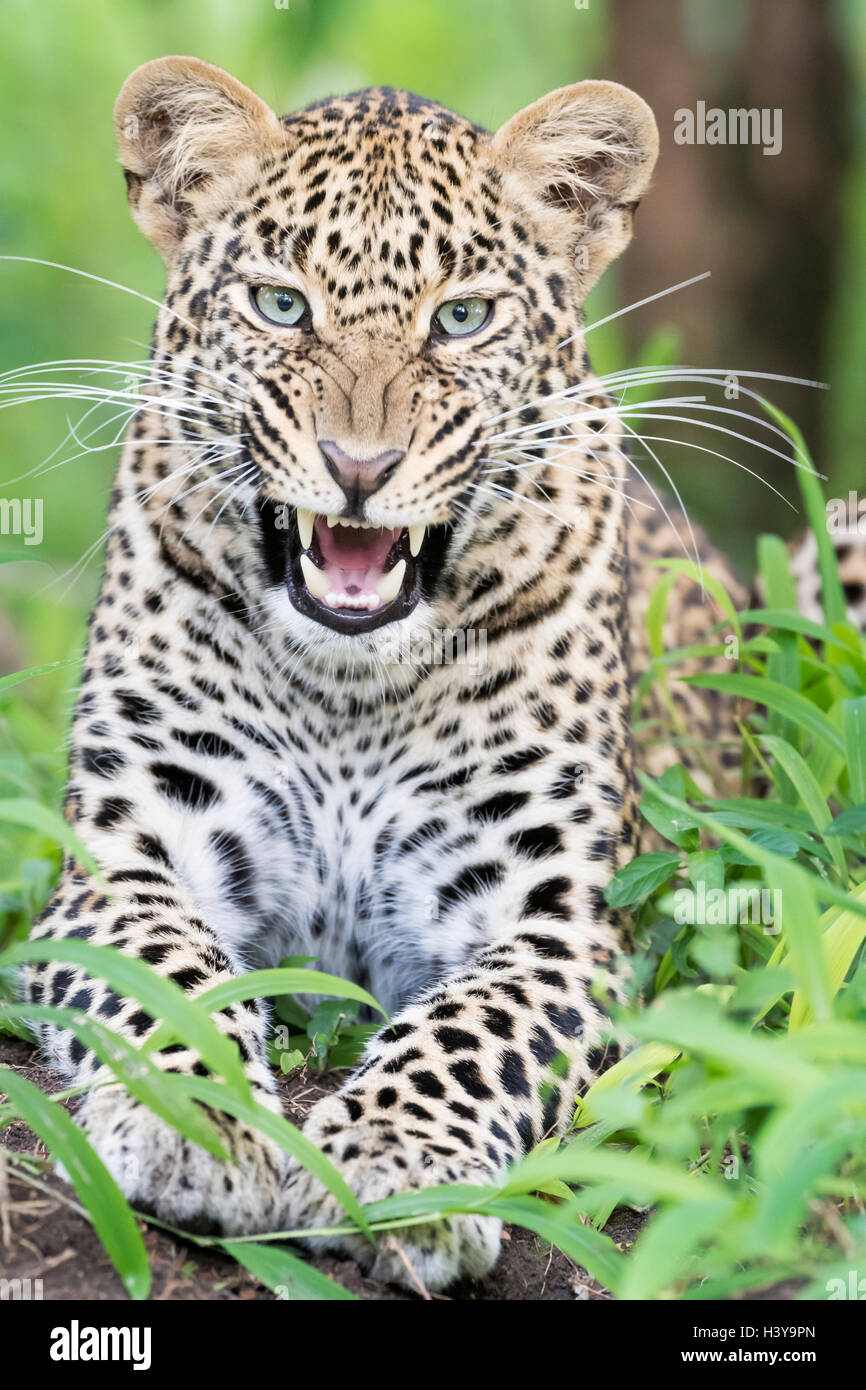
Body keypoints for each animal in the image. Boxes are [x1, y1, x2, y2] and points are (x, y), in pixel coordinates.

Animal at [18, 56, 847, 1293]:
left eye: (459, 318)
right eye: (282, 306)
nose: (359, 468)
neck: (349, 691)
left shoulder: (556, 919)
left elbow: (468, 1030)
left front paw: (397, 1164)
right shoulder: (126, 857)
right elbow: (178, 978)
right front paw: (199, 1125)